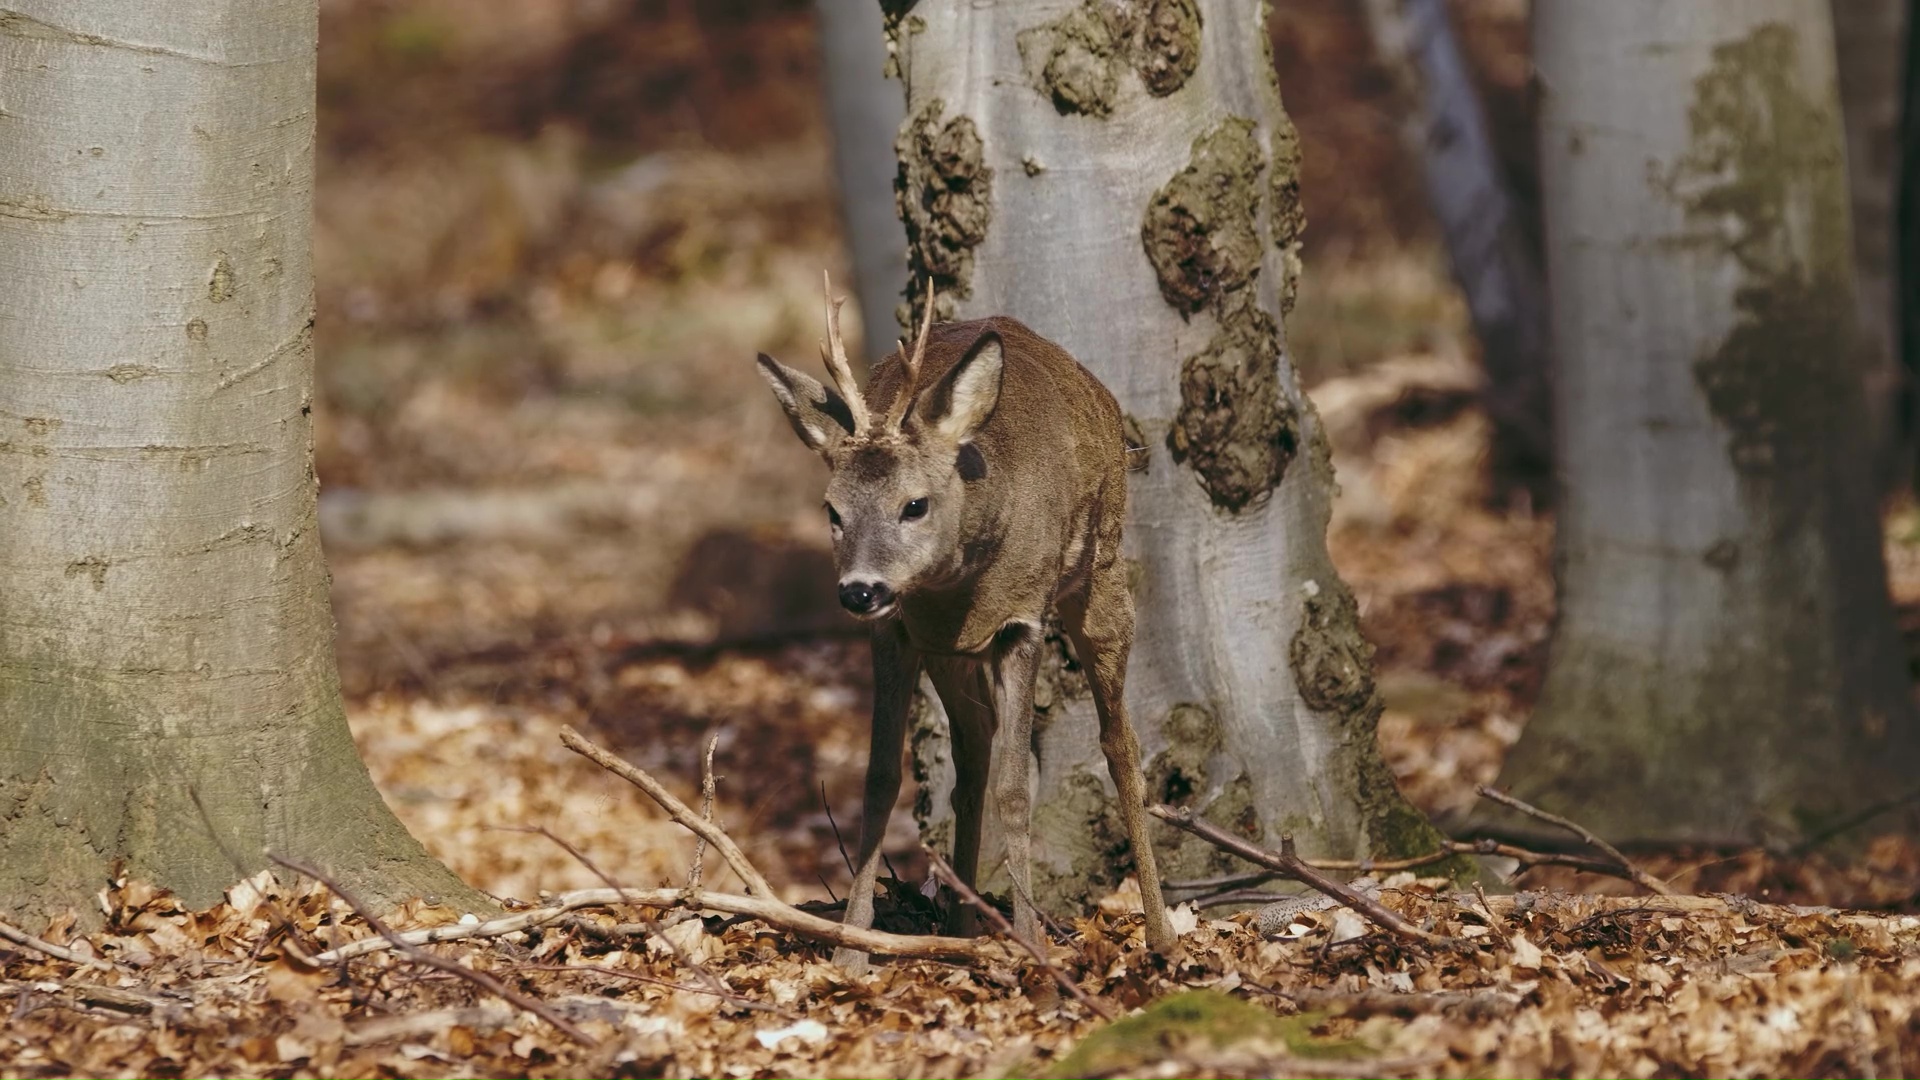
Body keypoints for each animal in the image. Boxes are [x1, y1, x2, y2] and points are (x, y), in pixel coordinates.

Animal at [755, 273, 1176, 971]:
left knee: (1120, 741)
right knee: (973, 750)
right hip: (948, 654)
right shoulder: (901, 632)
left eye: (914, 505)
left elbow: (1016, 787)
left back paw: (1163, 934)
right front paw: (852, 948)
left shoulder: (1022, 622)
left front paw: (1034, 944)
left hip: (1103, 572)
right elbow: (879, 778)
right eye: (832, 510)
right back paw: (958, 923)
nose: (860, 590)